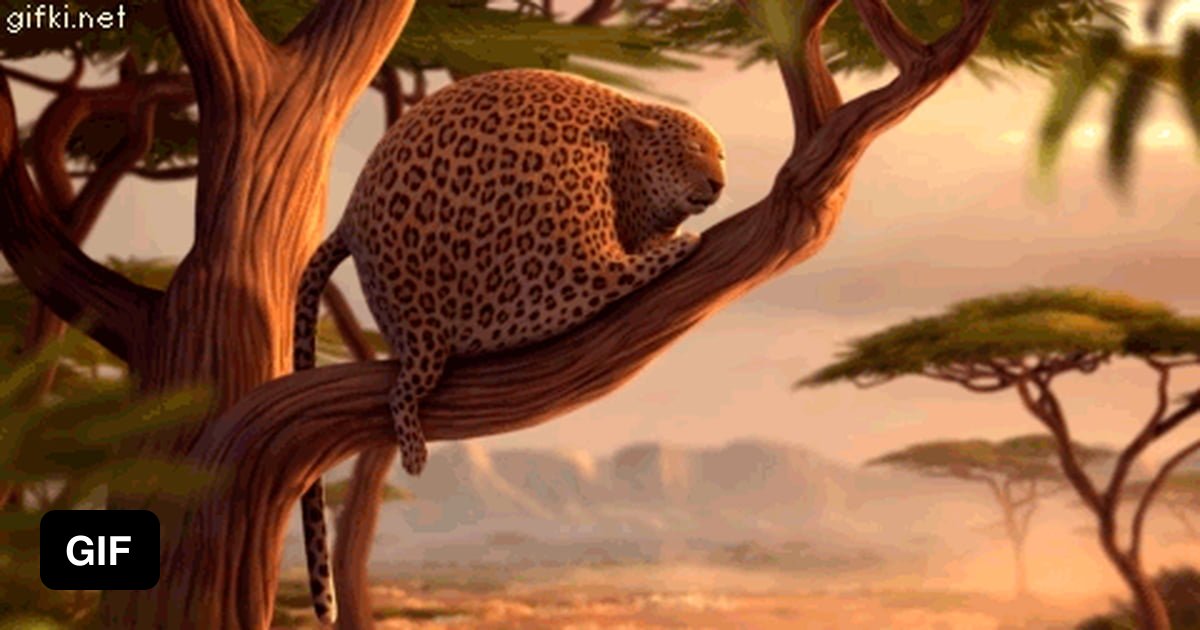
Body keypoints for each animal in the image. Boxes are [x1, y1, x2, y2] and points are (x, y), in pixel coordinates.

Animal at [291, 68, 725, 624]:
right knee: (402, 388)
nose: (719, 183)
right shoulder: (575, 264)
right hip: (428, 323)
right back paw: (414, 450)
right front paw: (683, 242)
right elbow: (631, 264)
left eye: (721, 155)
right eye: (693, 149)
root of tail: (346, 217)